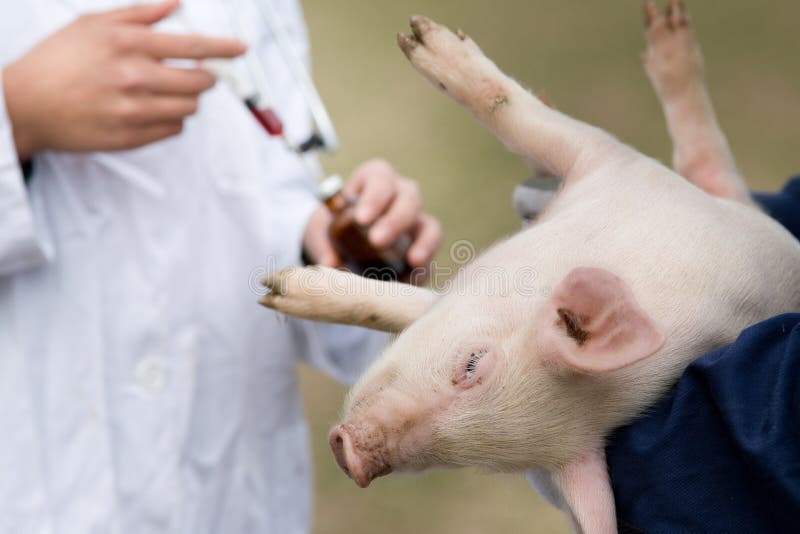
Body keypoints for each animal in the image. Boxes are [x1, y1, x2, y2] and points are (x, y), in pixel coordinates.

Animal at [259, 2, 800, 532]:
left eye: (476, 463)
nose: (351, 456)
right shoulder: (622, 170)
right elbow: (524, 121)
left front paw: (272, 290)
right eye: (471, 364)